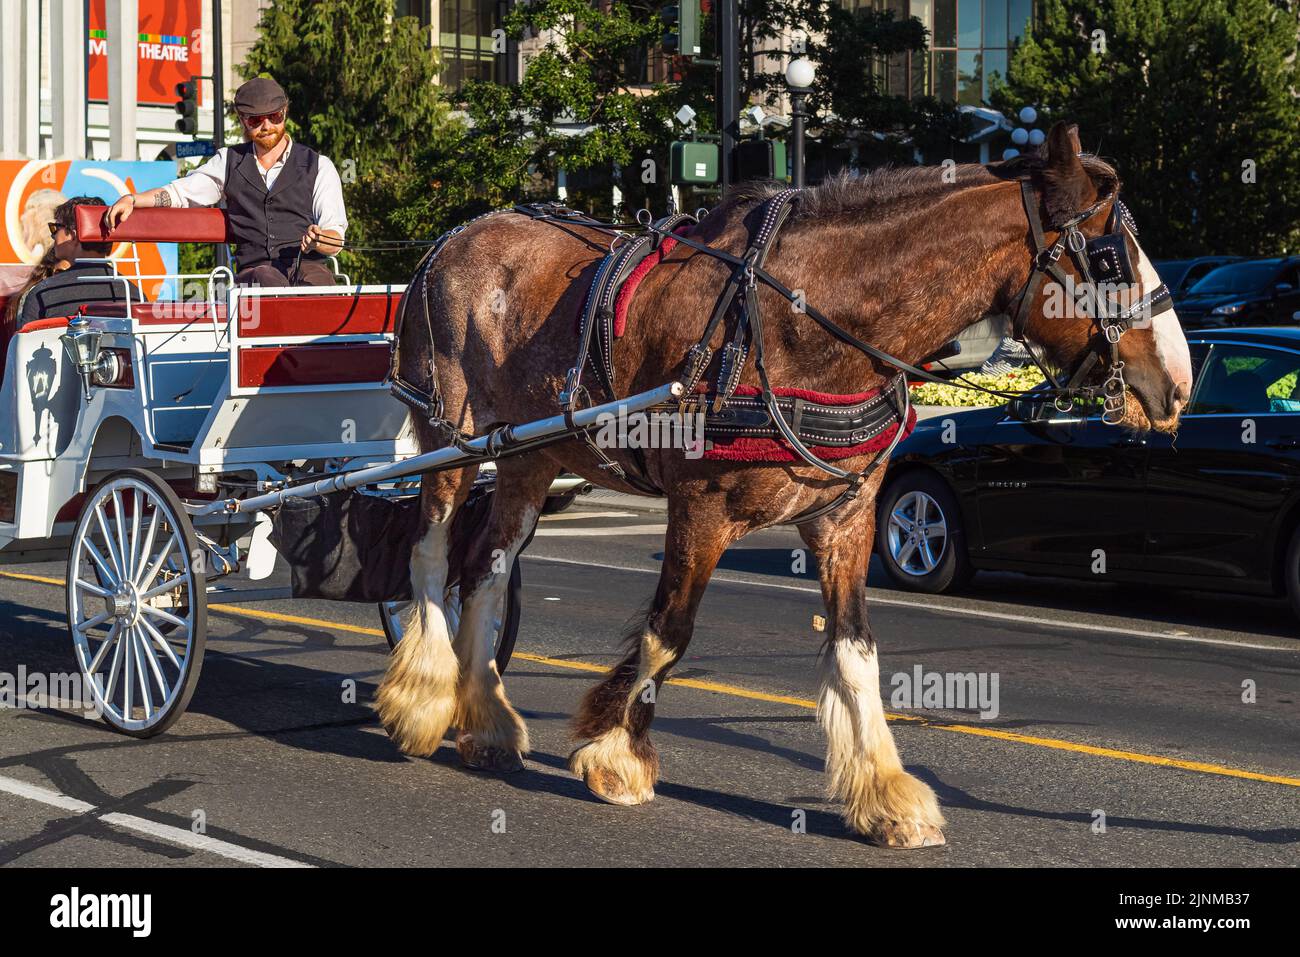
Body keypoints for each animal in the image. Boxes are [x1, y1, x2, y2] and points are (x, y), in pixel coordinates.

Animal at [374, 123, 1192, 848]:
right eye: (1111, 256)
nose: (1179, 380)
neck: (806, 322)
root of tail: (455, 237)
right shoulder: (701, 509)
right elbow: (669, 630)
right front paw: (617, 756)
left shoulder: (848, 516)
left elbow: (855, 649)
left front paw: (883, 792)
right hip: (449, 439)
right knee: (429, 555)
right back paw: (421, 698)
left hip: (527, 458)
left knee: (487, 571)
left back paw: (486, 721)